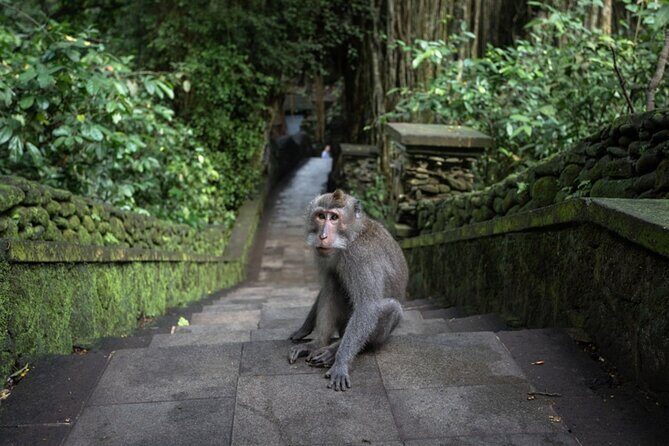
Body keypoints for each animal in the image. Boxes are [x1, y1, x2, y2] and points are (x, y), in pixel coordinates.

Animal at [288, 189, 408, 391]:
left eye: (334, 217)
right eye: (321, 216)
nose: (322, 236)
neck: (352, 237)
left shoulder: (361, 256)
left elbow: (367, 307)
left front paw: (341, 363)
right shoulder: (326, 255)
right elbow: (326, 287)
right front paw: (304, 328)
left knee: (391, 308)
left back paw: (332, 351)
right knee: (333, 284)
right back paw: (319, 343)